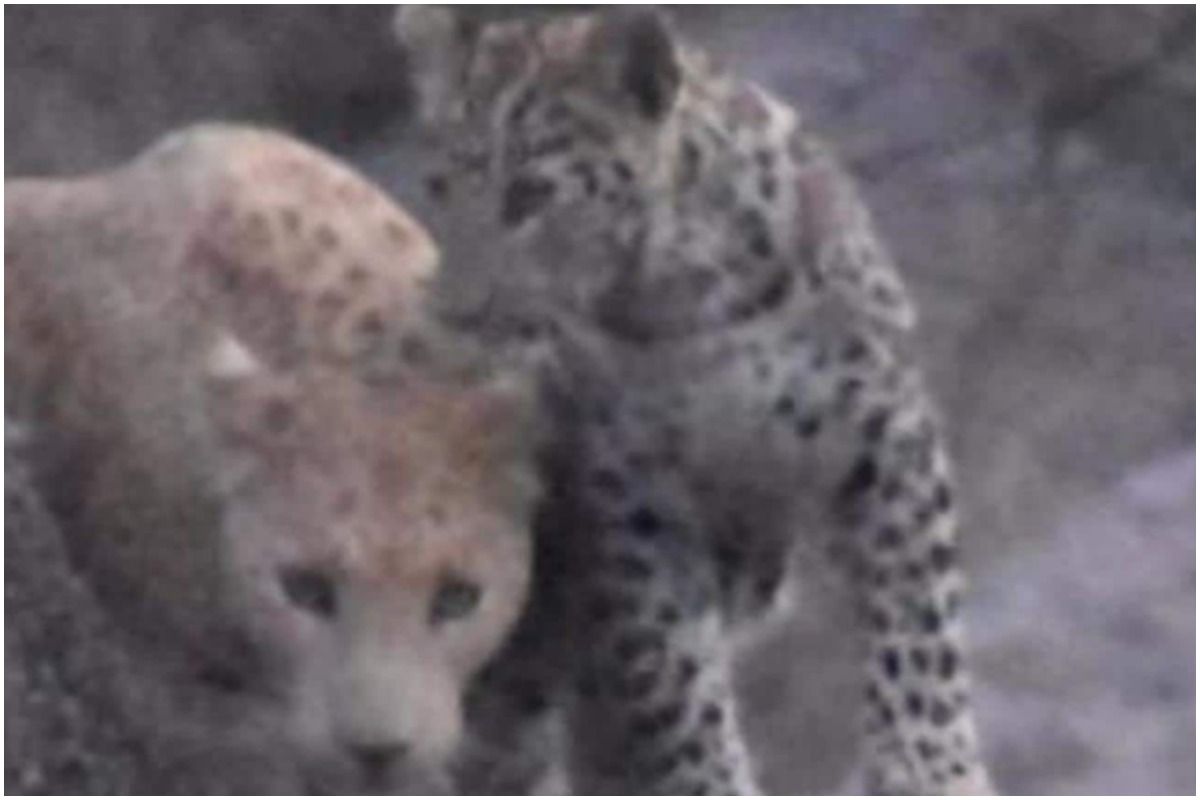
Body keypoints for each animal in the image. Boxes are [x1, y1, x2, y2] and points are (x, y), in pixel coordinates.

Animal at [394, 6, 994, 794]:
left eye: (529, 194)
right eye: (438, 189)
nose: (453, 314)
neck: (678, 301)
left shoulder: (881, 436)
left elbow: (916, 628)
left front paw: (931, 769)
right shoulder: (631, 503)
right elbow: (674, 685)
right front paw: (712, 779)